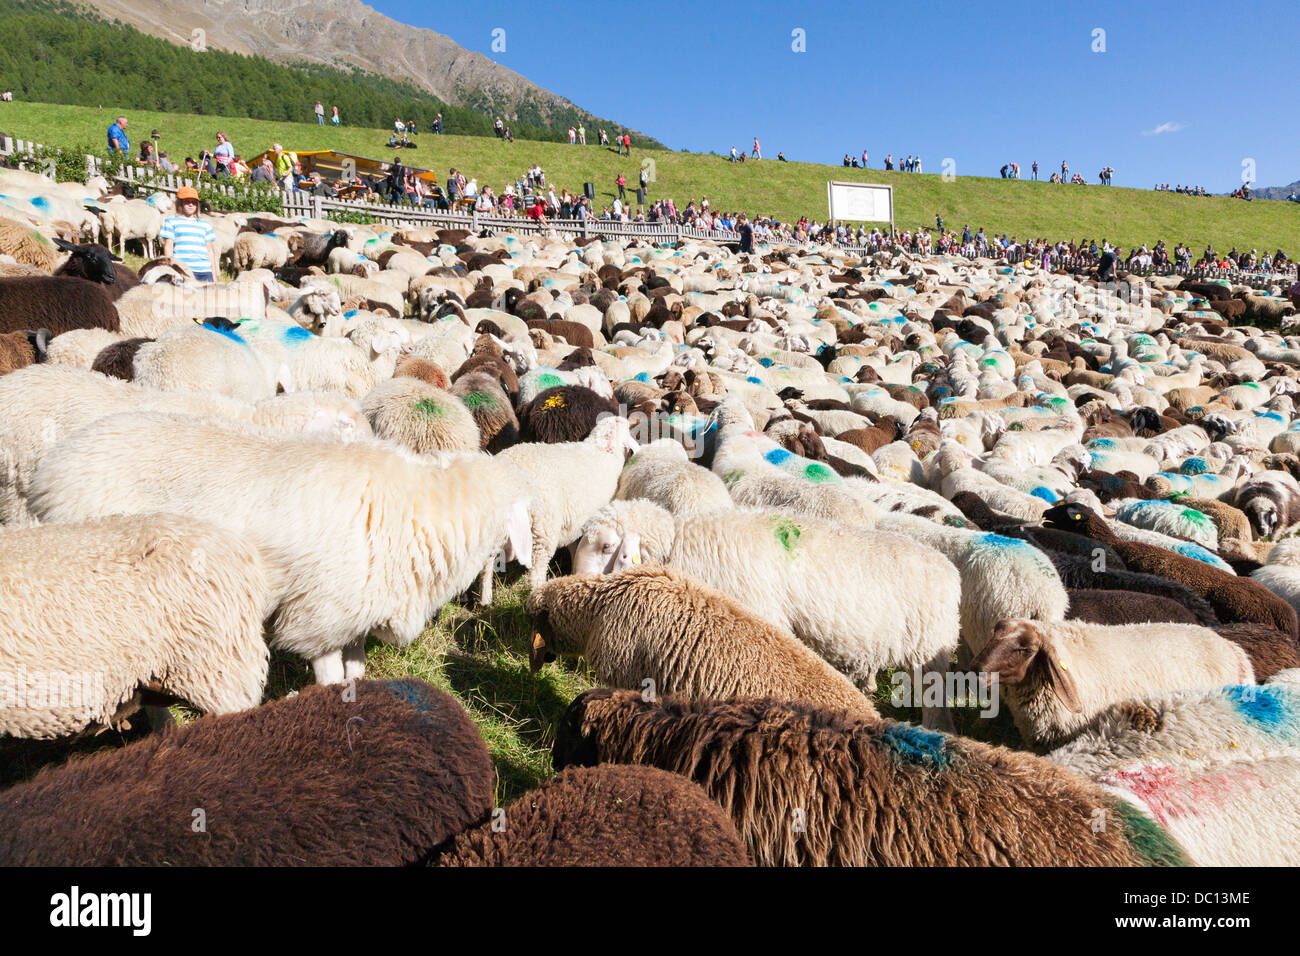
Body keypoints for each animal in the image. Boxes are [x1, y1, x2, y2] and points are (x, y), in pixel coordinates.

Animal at [27, 411, 532, 684]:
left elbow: (357, 668)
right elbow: (331, 678)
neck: (420, 508)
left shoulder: (355, 611)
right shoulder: (319, 614)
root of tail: (48, 472)